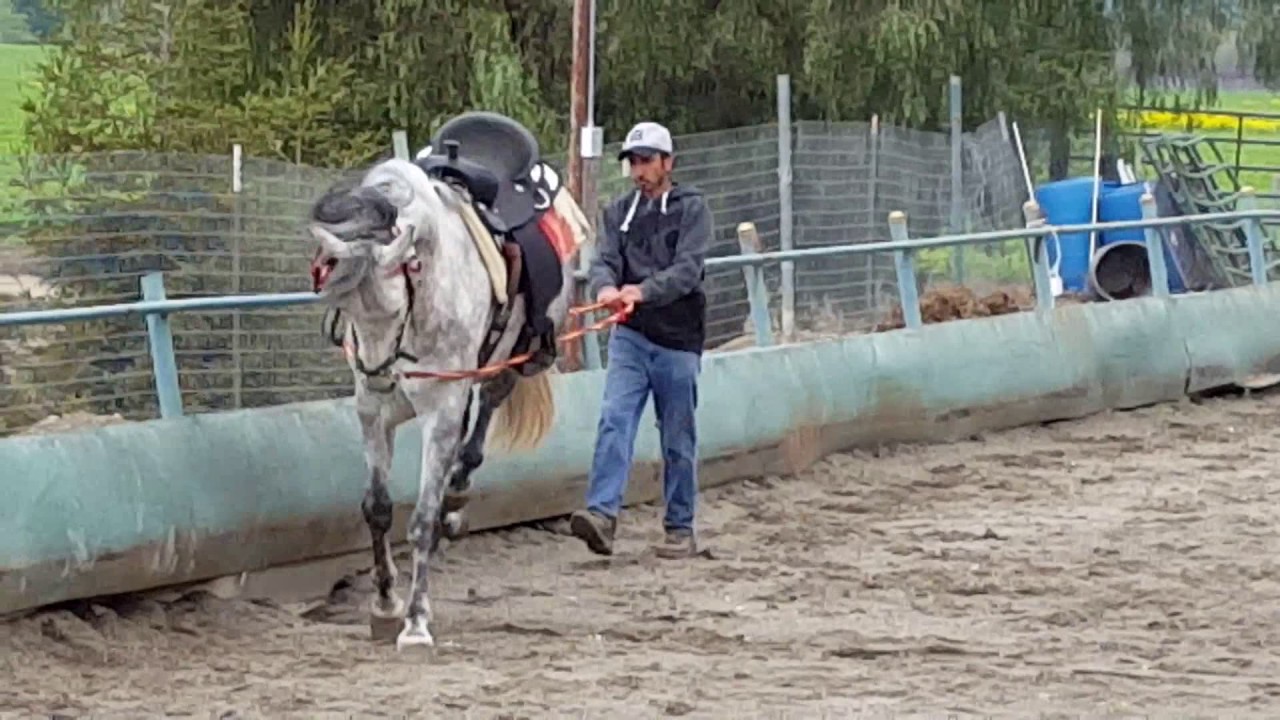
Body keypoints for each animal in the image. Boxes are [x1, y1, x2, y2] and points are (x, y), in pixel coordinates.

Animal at [305, 111, 594, 649]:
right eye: (344, 307)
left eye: (391, 298)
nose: (378, 372)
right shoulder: (372, 412)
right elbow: (377, 507)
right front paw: (384, 604)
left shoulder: (440, 409)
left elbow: (420, 519)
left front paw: (416, 621)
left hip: (514, 359)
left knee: (483, 419)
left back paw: (457, 491)